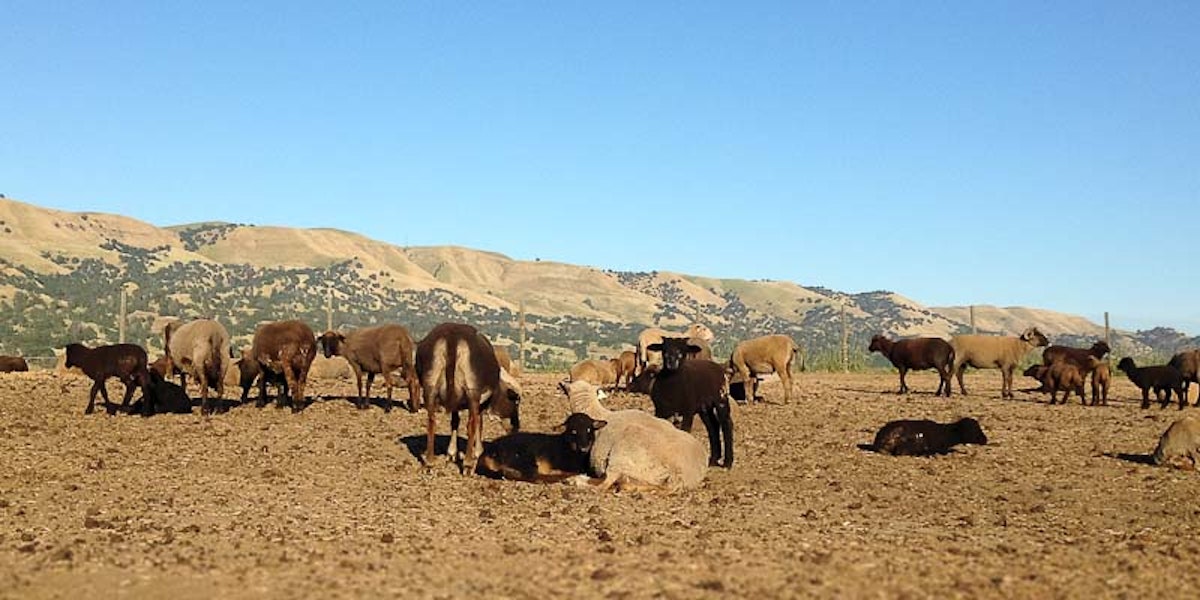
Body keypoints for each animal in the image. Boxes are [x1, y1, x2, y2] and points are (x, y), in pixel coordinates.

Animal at [415, 322, 521, 471]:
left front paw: (451, 453)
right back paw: (468, 464)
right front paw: (478, 452)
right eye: (516, 401)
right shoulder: (481, 401)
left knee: (431, 422)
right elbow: (478, 424)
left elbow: (455, 422)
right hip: (472, 392)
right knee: (471, 425)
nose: (517, 427)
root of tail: (452, 336)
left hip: (430, 388)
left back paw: (430, 461)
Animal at [475, 413, 605, 483]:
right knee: (533, 476)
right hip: (523, 458)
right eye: (573, 431)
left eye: (589, 429)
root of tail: (488, 451)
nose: (584, 447)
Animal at [648, 337, 734, 468]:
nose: (672, 362)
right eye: (664, 349)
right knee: (713, 426)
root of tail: (717, 367)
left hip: (721, 399)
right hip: (705, 407)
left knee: (726, 424)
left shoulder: (688, 411)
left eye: (683, 350)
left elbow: (685, 431)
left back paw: (728, 462)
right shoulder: (660, 410)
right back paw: (713, 460)